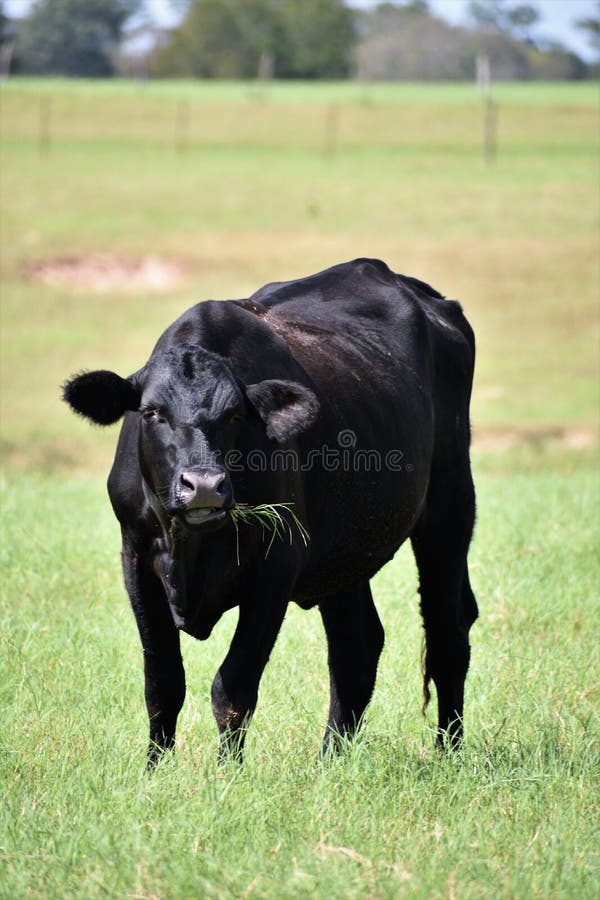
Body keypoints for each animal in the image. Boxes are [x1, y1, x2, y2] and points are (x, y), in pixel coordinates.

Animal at [63, 258, 478, 765]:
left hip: (449, 508)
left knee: (447, 632)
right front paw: (154, 770)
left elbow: (233, 686)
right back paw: (329, 763)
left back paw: (449, 752)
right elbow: (162, 684)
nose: (203, 486)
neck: (192, 547)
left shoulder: (276, 564)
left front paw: (227, 773)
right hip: (345, 547)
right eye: (151, 413)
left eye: (235, 415)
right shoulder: (137, 557)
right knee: (357, 646)